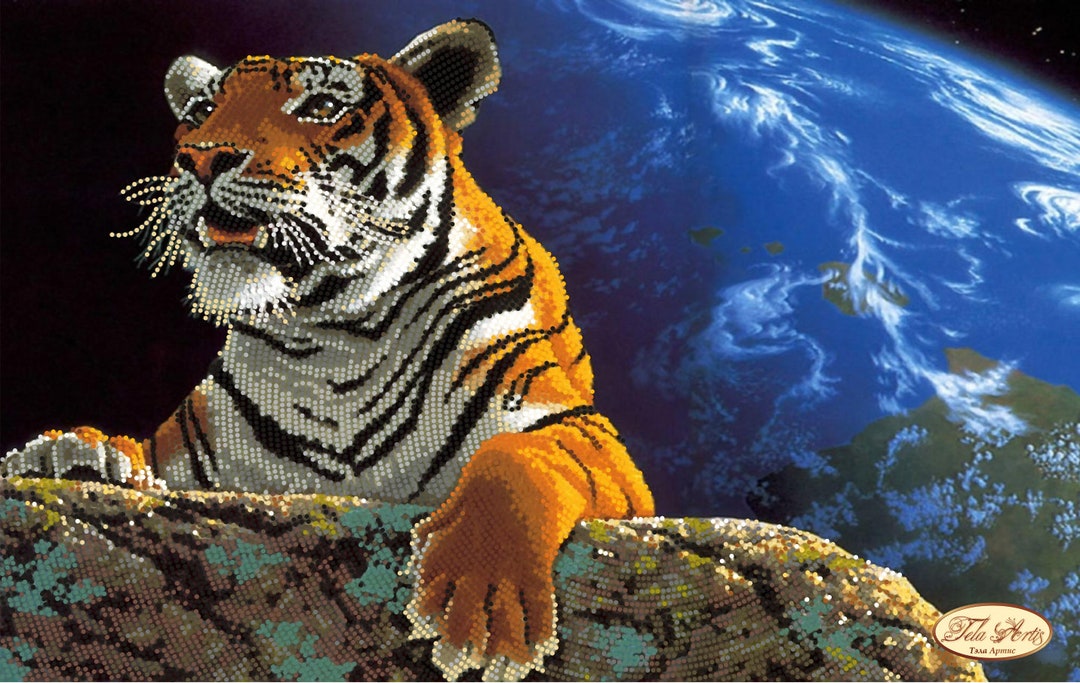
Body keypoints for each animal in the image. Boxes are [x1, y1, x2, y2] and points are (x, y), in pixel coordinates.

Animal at [1, 18, 654, 681]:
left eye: (320, 108)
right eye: (203, 111)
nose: (201, 157)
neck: (331, 340)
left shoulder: (583, 433)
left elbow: (517, 462)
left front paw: (479, 608)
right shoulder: (196, 457)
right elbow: (140, 453)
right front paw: (71, 454)